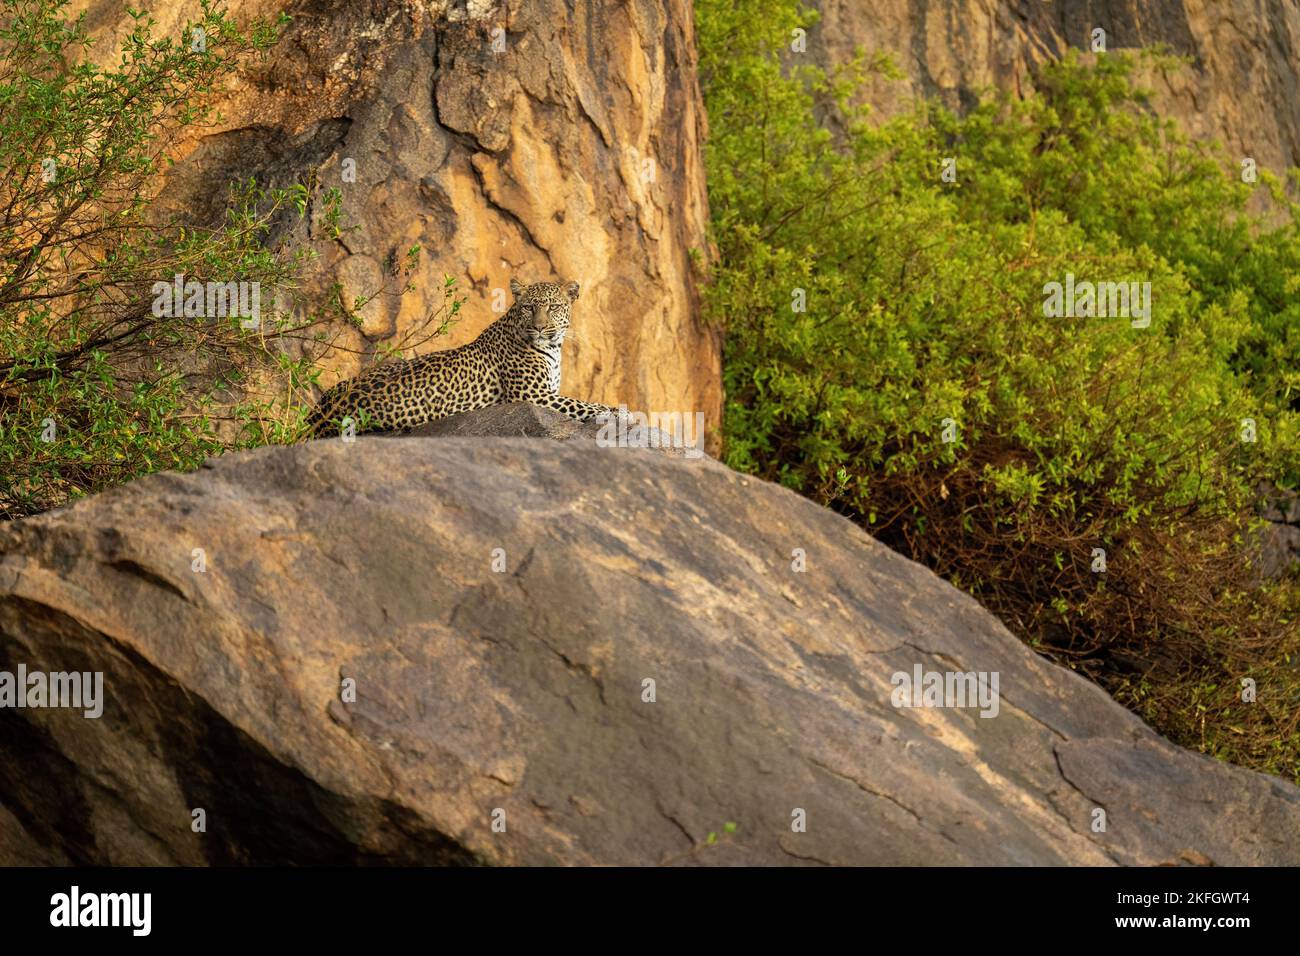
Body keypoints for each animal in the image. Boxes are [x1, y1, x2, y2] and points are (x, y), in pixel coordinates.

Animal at [305, 277, 621, 437]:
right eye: (529, 307)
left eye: (554, 307)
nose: (541, 327)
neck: (553, 348)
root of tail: (320, 412)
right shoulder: (532, 396)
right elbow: (580, 404)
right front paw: (619, 411)